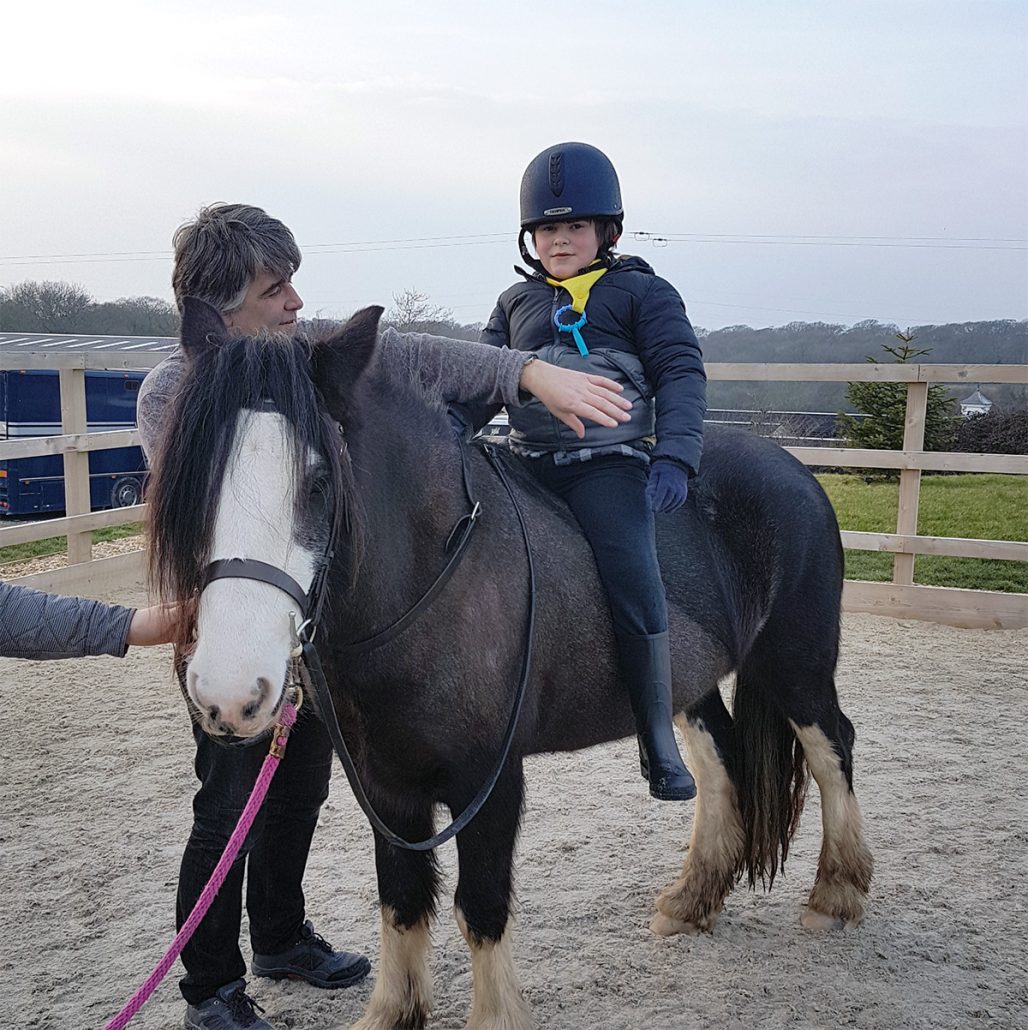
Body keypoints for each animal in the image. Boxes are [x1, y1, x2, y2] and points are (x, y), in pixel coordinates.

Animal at [147, 299, 873, 1030]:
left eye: (321, 481)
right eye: (189, 479)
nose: (229, 694)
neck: (432, 582)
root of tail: (791, 466)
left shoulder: (489, 784)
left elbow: (482, 907)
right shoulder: (386, 789)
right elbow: (402, 900)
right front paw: (394, 1012)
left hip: (794, 663)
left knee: (831, 746)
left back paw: (835, 895)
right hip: (691, 687)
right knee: (721, 759)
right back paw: (694, 899)